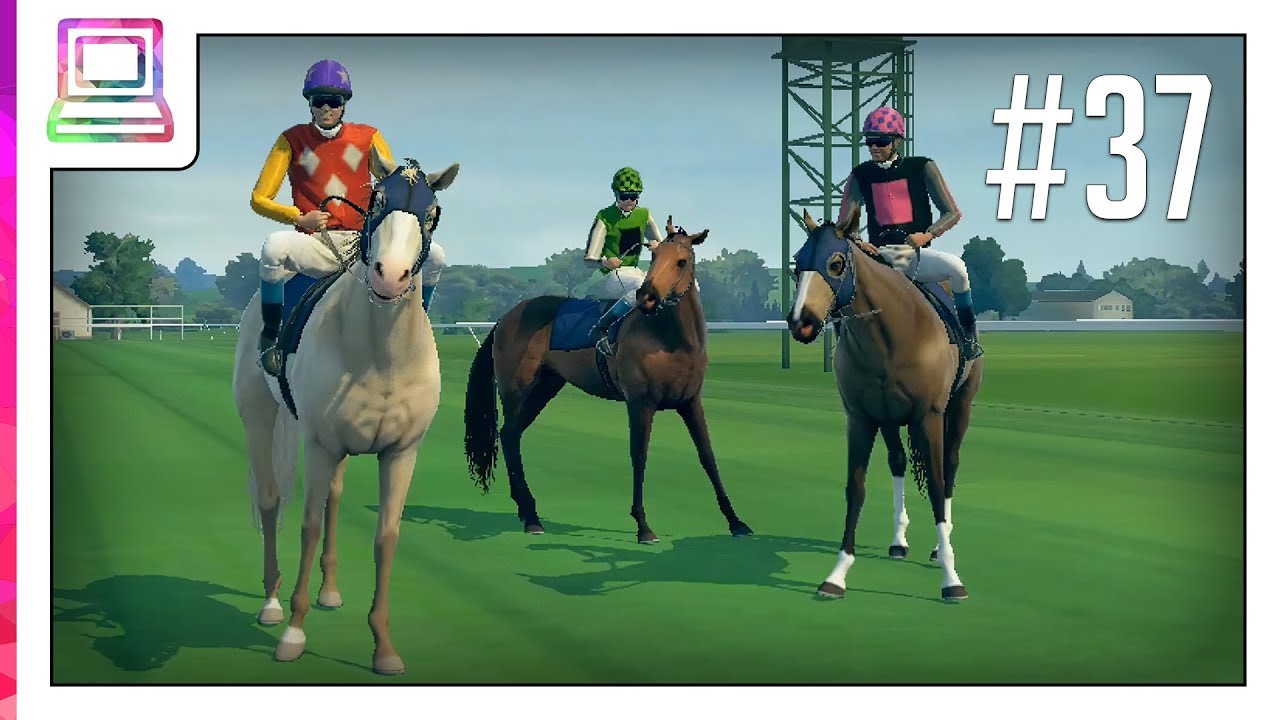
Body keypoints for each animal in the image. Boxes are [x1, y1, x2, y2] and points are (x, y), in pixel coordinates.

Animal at [231, 159, 460, 674]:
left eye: (432, 213)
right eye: (377, 200)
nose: (389, 277)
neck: (382, 357)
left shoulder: (401, 452)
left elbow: (386, 536)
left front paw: (385, 648)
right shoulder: (319, 445)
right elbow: (308, 526)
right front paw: (294, 635)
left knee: (334, 498)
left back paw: (330, 593)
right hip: (258, 416)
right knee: (272, 499)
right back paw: (272, 604)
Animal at [462, 217, 753, 544]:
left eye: (681, 261)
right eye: (654, 256)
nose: (646, 297)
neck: (672, 339)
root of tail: (506, 318)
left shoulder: (690, 401)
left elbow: (708, 456)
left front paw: (736, 521)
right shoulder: (640, 402)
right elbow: (639, 455)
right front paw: (643, 526)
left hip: (544, 389)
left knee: (511, 434)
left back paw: (527, 512)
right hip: (516, 390)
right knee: (510, 434)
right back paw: (531, 517)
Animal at [785, 208, 983, 602]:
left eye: (835, 263)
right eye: (797, 263)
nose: (801, 323)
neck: (891, 337)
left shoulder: (929, 416)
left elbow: (937, 484)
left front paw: (951, 578)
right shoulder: (860, 418)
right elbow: (855, 488)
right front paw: (837, 574)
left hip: (960, 407)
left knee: (951, 466)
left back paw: (938, 547)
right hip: (890, 419)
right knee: (898, 462)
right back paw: (898, 542)